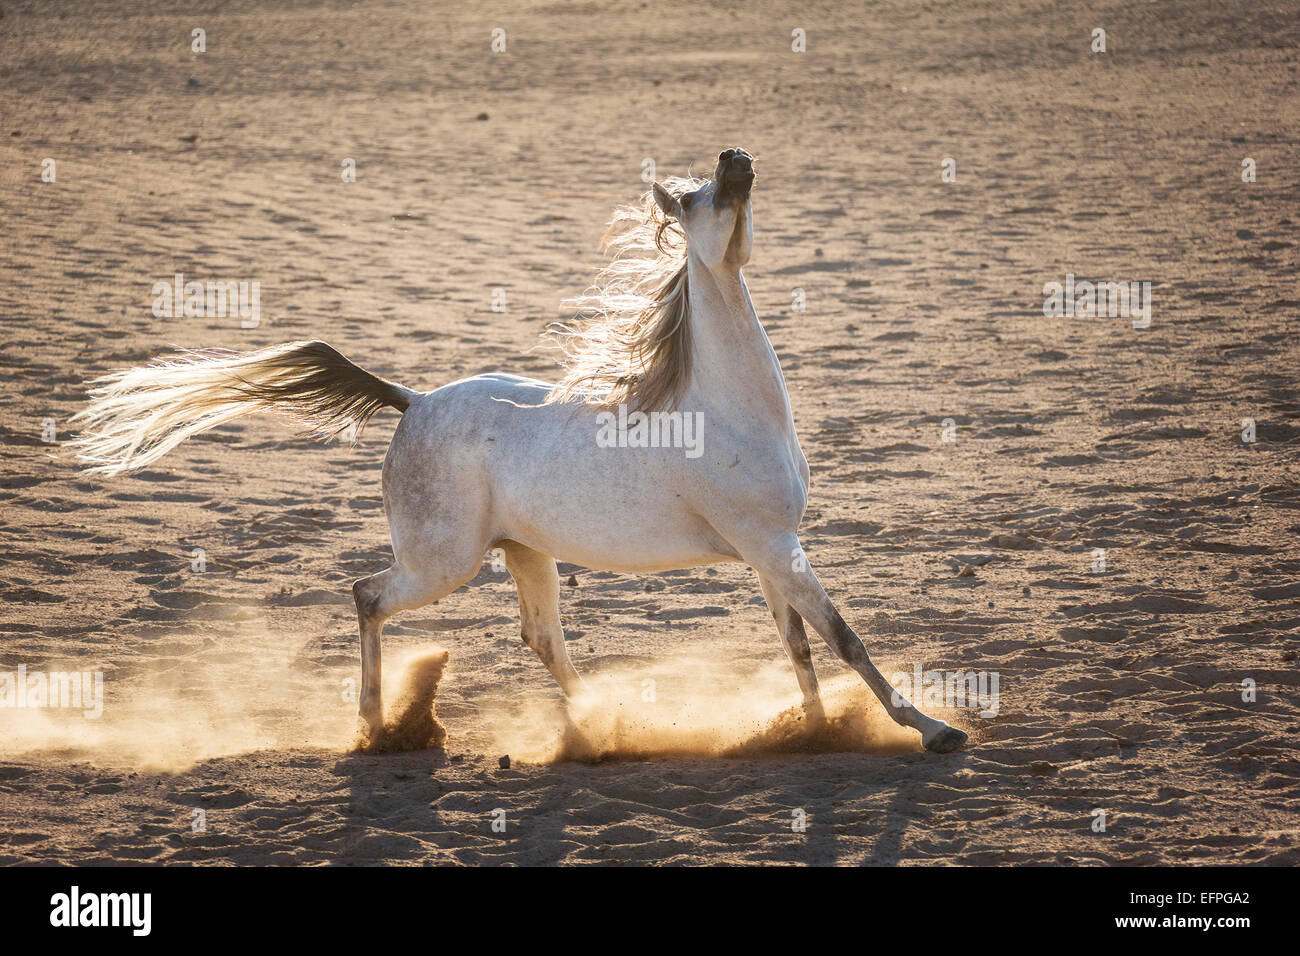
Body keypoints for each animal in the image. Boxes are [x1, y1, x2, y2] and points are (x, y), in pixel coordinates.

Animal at [72, 147, 968, 755]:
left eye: (714, 181)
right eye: (692, 198)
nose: (735, 158)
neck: (722, 408)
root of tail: (413, 402)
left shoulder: (766, 552)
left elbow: (799, 645)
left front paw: (810, 730)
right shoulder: (774, 545)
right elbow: (843, 637)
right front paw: (930, 730)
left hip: (524, 552)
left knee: (541, 639)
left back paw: (597, 727)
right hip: (444, 562)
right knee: (367, 596)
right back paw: (376, 725)